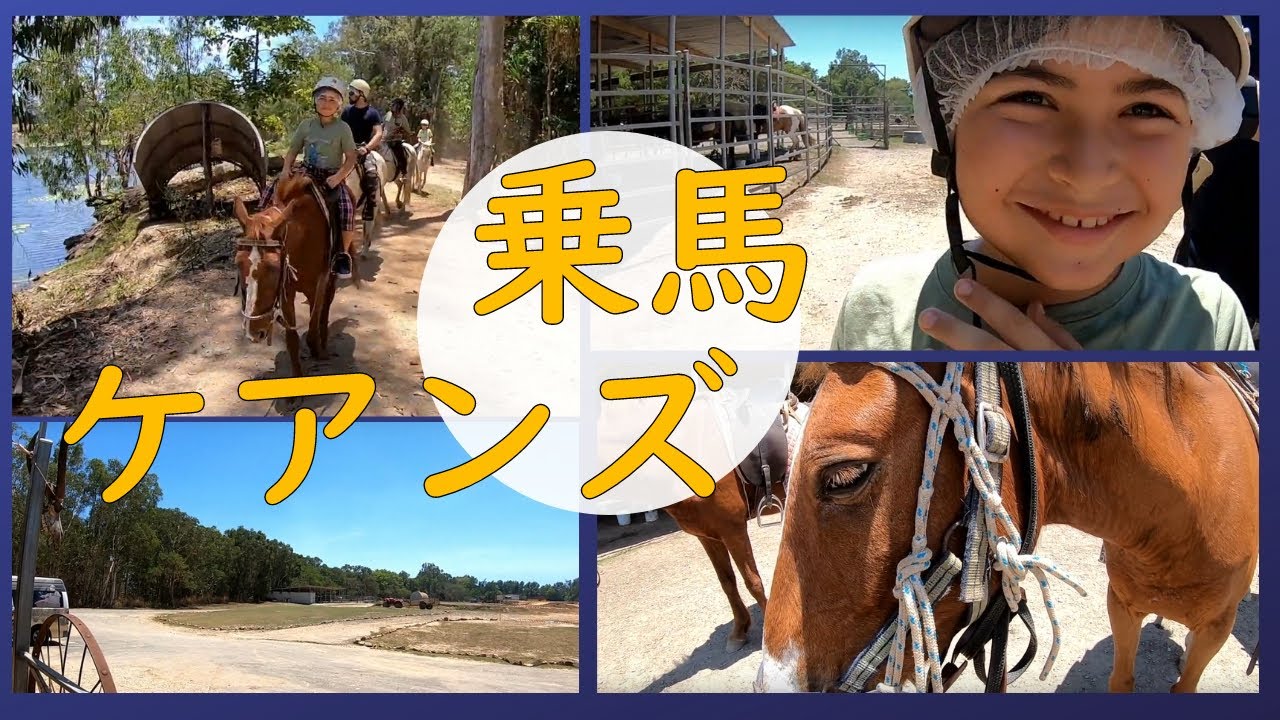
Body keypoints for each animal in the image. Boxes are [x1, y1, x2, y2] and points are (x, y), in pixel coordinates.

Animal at [233, 172, 340, 381]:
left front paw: (318, 350)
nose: (254, 332)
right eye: (237, 263)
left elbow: (314, 322)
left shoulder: (319, 283)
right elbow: (292, 338)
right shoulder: (285, 292)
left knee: (327, 305)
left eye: (274, 268)